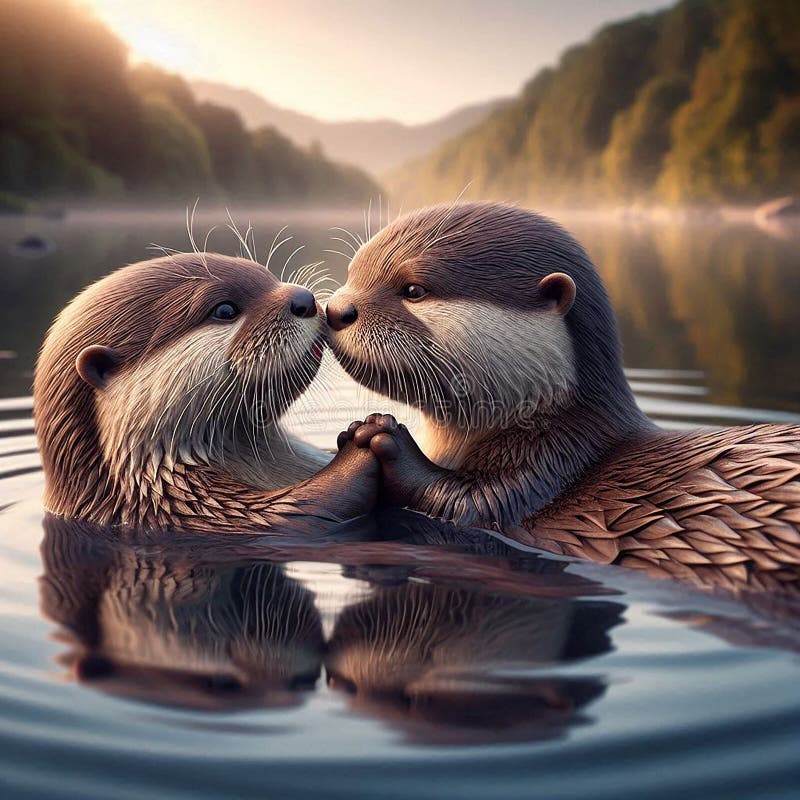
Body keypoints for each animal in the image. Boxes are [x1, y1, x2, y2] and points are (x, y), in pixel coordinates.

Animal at [34, 252, 377, 532]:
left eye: (267, 276)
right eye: (224, 310)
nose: (304, 299)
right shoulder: (193, 509)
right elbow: (296, 510)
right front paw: (364, 446)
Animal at [327, 203, 800, 593]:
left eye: (414, 290)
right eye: (352, 272)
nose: (336, 309)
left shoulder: (545, 469)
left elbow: (468, 503)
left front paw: (381, 435)